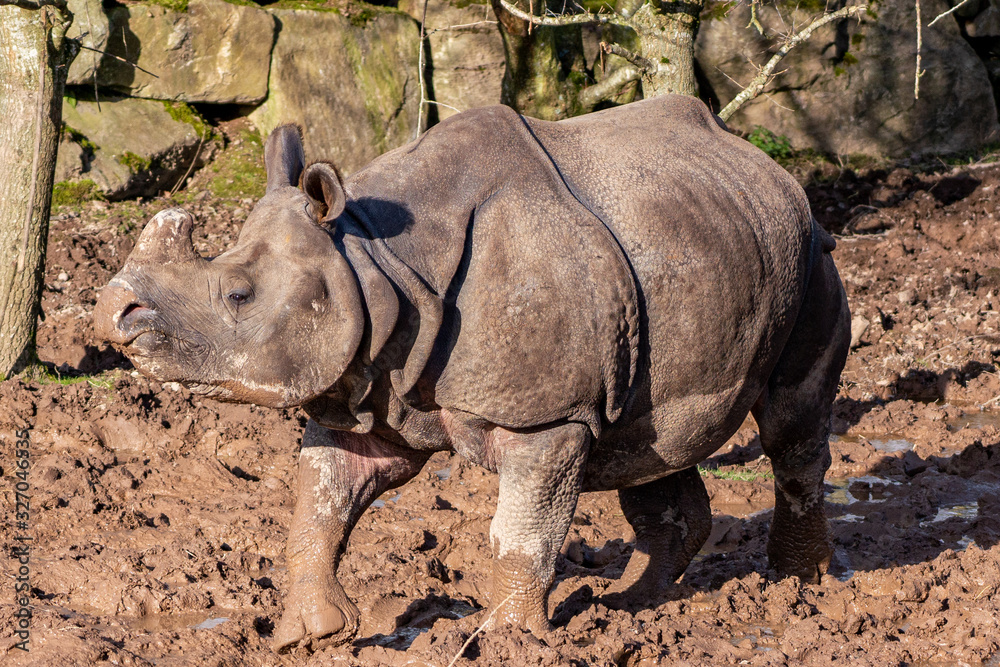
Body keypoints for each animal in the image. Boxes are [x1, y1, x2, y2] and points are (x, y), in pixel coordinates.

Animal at [94, 94, 850, 652]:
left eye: (238, 294)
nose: (110, 316)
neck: (375, 261)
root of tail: (767, 163)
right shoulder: (368, 390)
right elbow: (319, 507)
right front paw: (308, 635)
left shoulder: (546, 417)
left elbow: (523, 533)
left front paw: (504, 640)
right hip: (694, 254)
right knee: (650, 440)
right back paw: (630, 607)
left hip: (810, 253)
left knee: (790, 423)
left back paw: (795, 588)